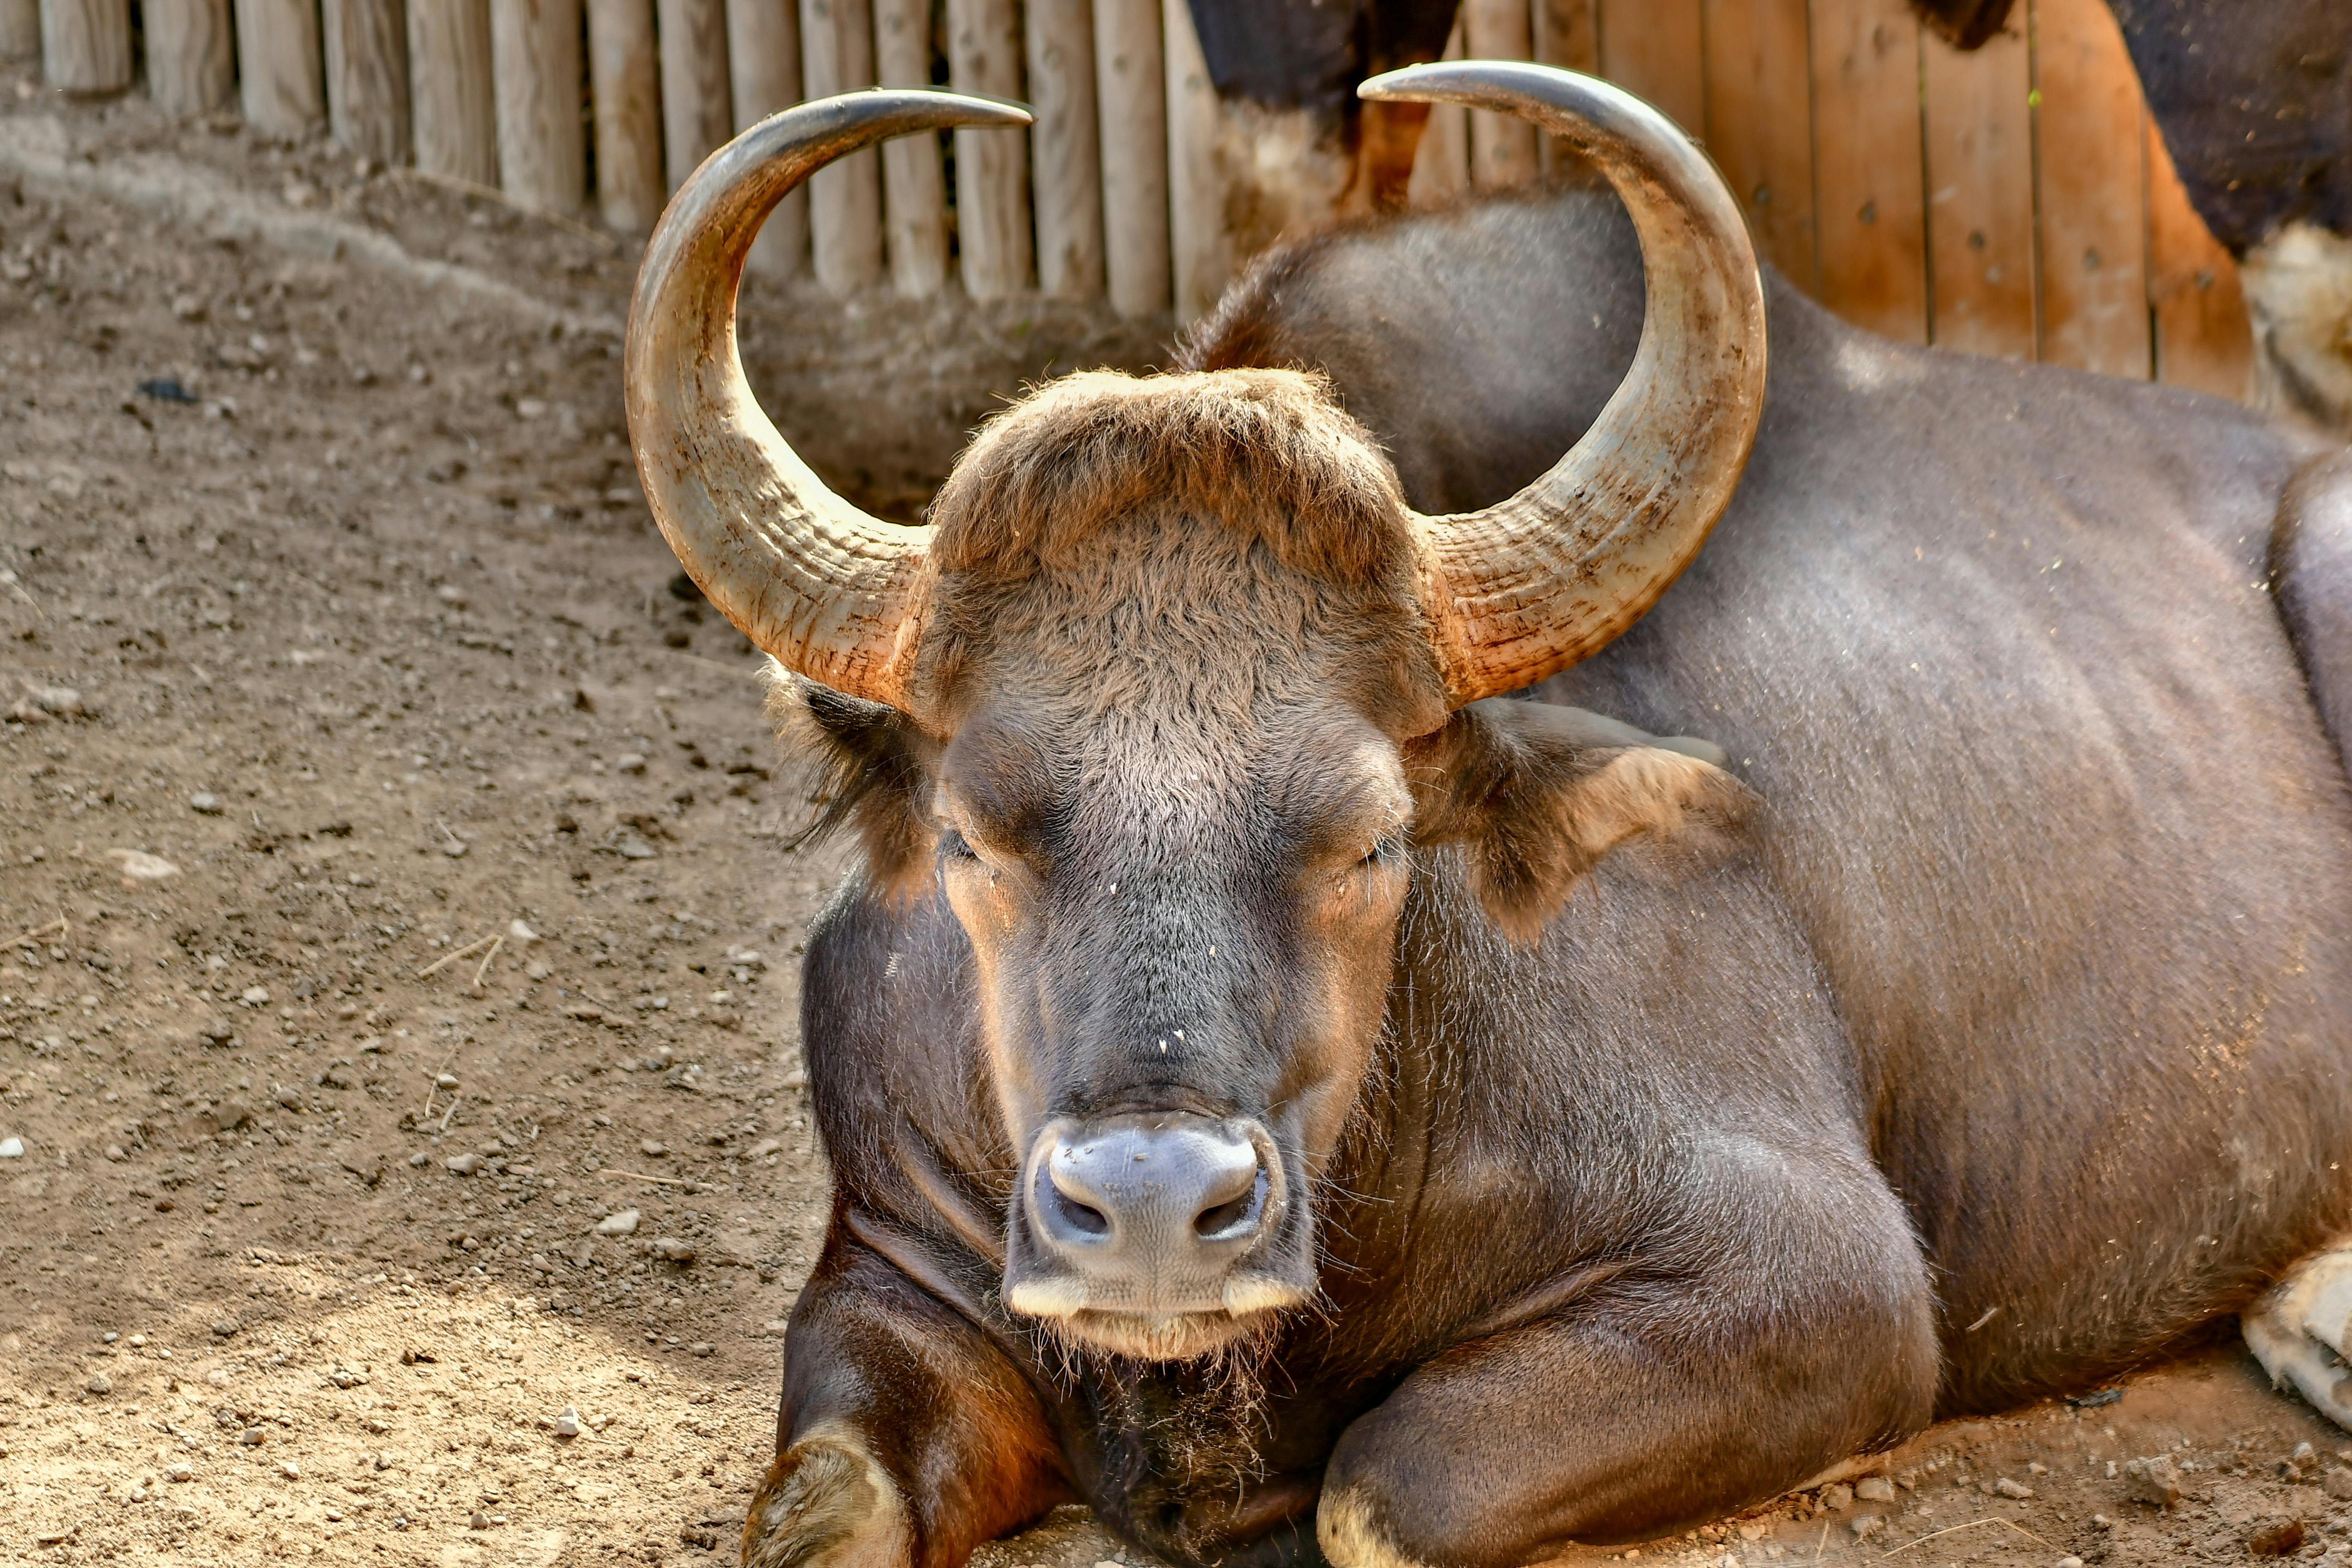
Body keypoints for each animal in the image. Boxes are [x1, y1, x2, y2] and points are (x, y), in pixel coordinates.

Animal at [623, 64, 2352, 1568]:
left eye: (1371, 839)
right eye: (974, 837)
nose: (1154, 1209)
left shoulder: (1816, 1283)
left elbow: (1377, 1493)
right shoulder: (886, 1270)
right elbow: (810, 1512)